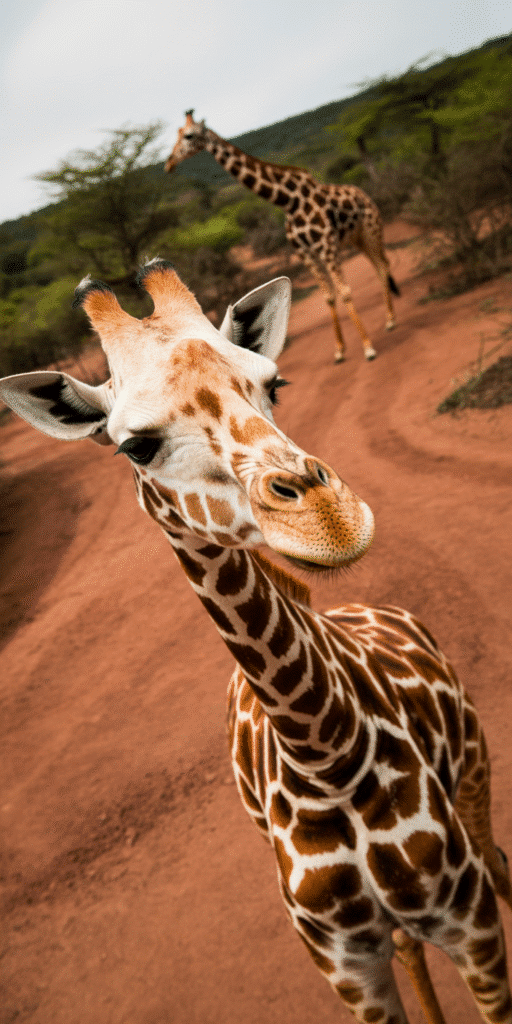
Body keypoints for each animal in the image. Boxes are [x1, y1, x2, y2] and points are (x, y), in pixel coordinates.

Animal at [1, 259, 510, 1024]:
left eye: (275, 383)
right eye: (135, 444)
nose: (331, 520)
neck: (329, 756)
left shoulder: (468, 919)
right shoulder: (346, 966)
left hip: (475, 771)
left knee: (501, 860)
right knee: (409, 948)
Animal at [165, 110, 400, 364]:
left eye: (188, 135)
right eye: (178, 133)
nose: (168, 163)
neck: (288, 201)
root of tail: (363, 193)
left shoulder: (326, 245)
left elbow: (345, 292)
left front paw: (368, 347)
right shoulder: (306, 252)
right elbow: (328, 295)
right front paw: (339, 350)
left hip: (371, 229)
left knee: (383, 266)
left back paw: (391, 320)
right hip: (356, 237)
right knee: (379, 266)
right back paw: (389, 318)